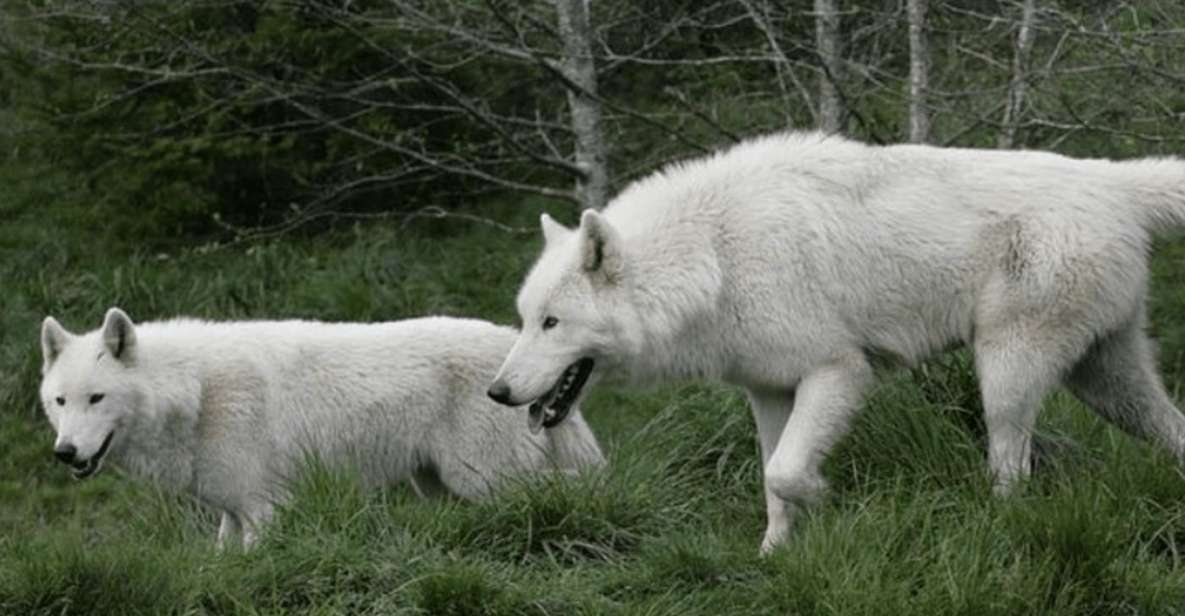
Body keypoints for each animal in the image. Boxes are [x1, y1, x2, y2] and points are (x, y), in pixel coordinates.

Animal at [40, 308, 604, 547]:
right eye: (60, 401)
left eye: (97, 398)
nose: (64, 452)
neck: (197, 393)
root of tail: (511, 349)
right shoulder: (233, 512)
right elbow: (221, 563)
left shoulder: (266, 509)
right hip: (443, 488)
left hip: (485, 480)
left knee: (572, 486)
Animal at [487, 131, 1185, 552]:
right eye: (524, 319)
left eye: (551, 323)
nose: (496, 391)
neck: (713, 256)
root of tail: (1112, 182)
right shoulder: (768, 392)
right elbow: (772, 478)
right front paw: (774, 556)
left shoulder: (838, 371)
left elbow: (789, 472)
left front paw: (828, 501)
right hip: (1107, 384)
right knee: (1171, 426)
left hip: (1007, 377)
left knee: (1012, 462)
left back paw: (1001, 522)